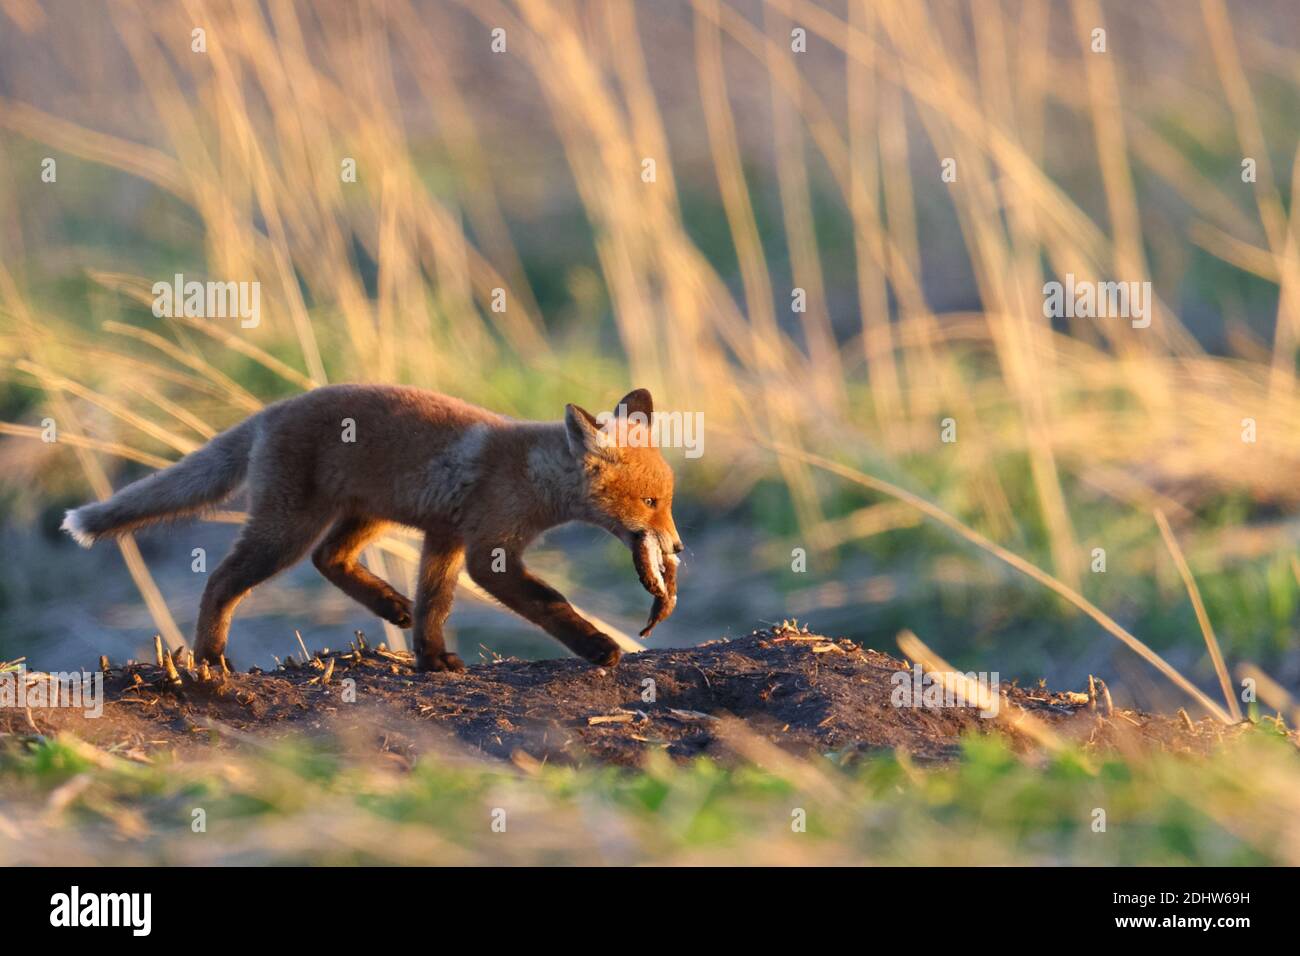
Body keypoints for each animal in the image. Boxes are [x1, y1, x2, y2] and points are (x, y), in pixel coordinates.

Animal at [61, 385, 683, 672]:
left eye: (666, 502)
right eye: (651, 502)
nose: (677, 547)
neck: (530, 472)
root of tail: (272, 410)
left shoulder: (444, 537)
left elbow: (434, 605)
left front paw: (431, 660)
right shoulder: (489, 552)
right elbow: (550, 601)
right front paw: (599, 647)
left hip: (364, 515)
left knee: (329, 560)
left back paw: (389, 605)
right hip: (286, 529)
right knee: (220, 582)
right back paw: (210, 659)